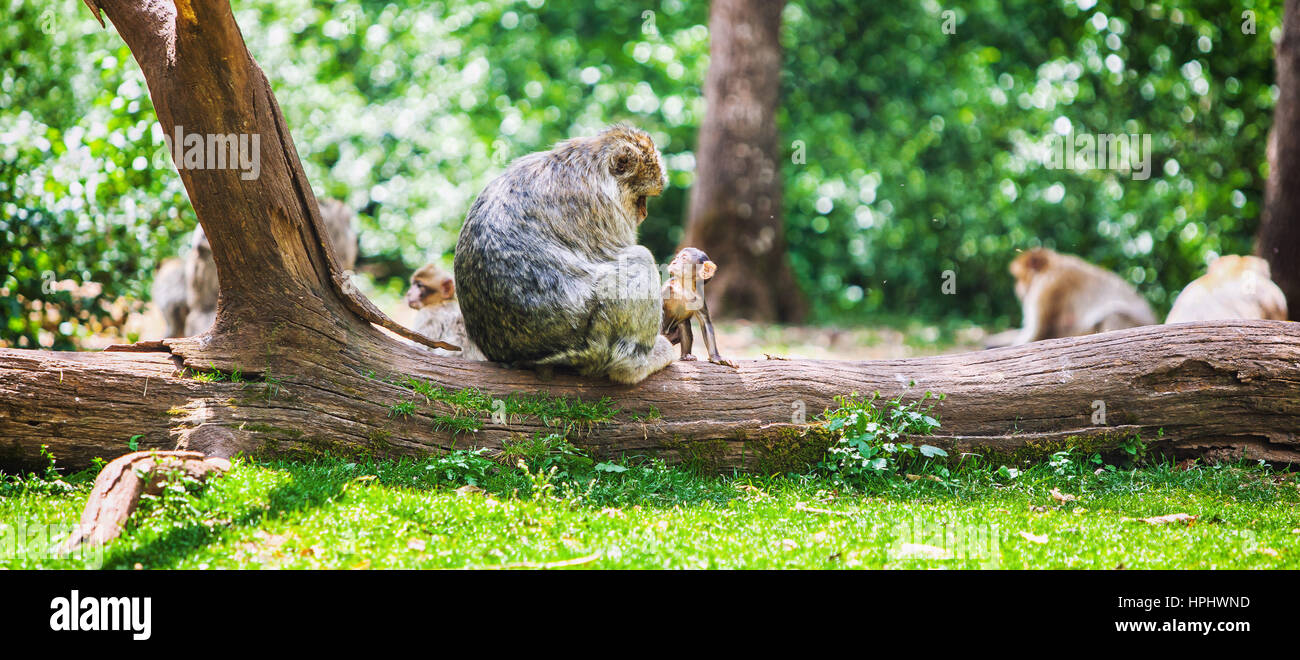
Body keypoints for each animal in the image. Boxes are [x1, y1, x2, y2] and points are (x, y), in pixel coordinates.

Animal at [454, 124, 676, 385]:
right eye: (640, 198)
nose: (643, 214)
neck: (590, 160)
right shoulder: (601, 206)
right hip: (594, 340)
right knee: (639, 259)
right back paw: (633, 366)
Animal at [986, 247, 1156, 347]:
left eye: (1019, 278)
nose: (1017, 288)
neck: (1053, 265)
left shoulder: (1046, 288)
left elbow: (1034, 334)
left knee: (1114, 314)